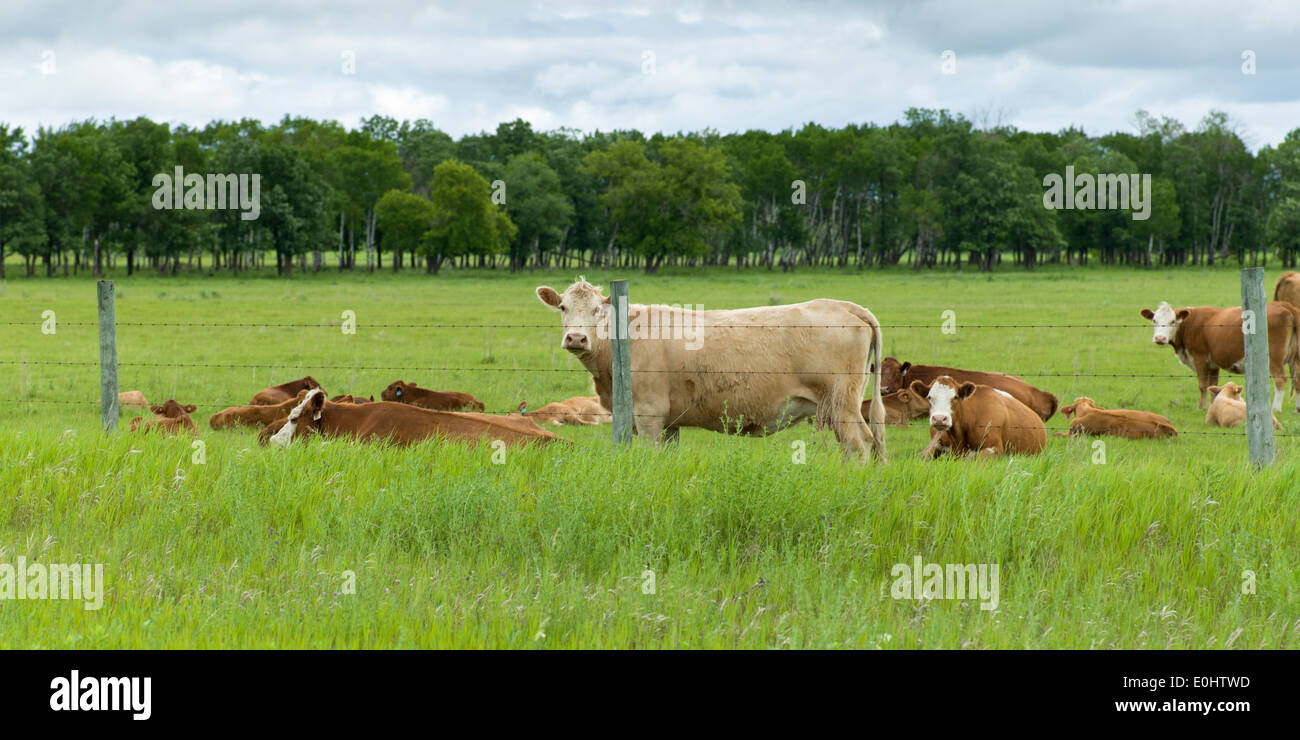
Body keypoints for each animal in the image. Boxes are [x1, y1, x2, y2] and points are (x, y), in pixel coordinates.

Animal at [535, 279, 886, 462]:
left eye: (598, 309)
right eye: (563, 307)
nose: (576, 338)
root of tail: (843, 305)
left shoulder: (648, 414)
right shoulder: (669, 422)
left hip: (842, 402)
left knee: (859, 445)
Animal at [1140, 301, 1300, 411]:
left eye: (1172, 321)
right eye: (1154, 320)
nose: (1160, 338)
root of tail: (1285, 305)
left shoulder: (1199, 358)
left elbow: (1203, 385)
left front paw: (1202, 407)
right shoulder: (1213, 363)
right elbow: (1213, 385)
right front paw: (1213, 405)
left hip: (1274, 359)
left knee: (1280, 379)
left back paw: (1275, 408)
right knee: (1297, 378)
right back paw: (1297, 409)